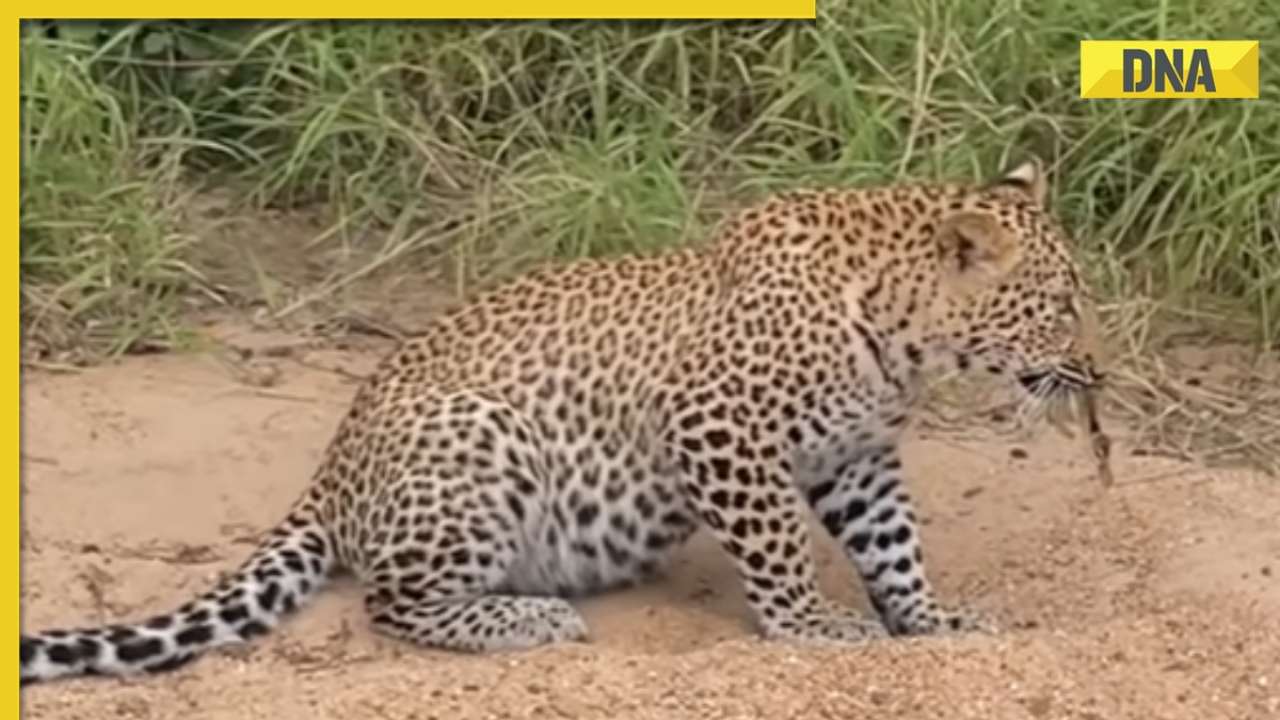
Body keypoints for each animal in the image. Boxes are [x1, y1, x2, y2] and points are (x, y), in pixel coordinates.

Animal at [20, 158, 1102, 684]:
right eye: (1057, 304)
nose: (1094, 369)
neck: (900, 339)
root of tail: (328, 477)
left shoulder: (859, 455)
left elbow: (894, 547)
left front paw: (930, 619)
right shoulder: (717, 427)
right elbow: (779, 552)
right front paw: (814, 628)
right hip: (477, 439)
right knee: (391, 604)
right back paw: (529, 617)